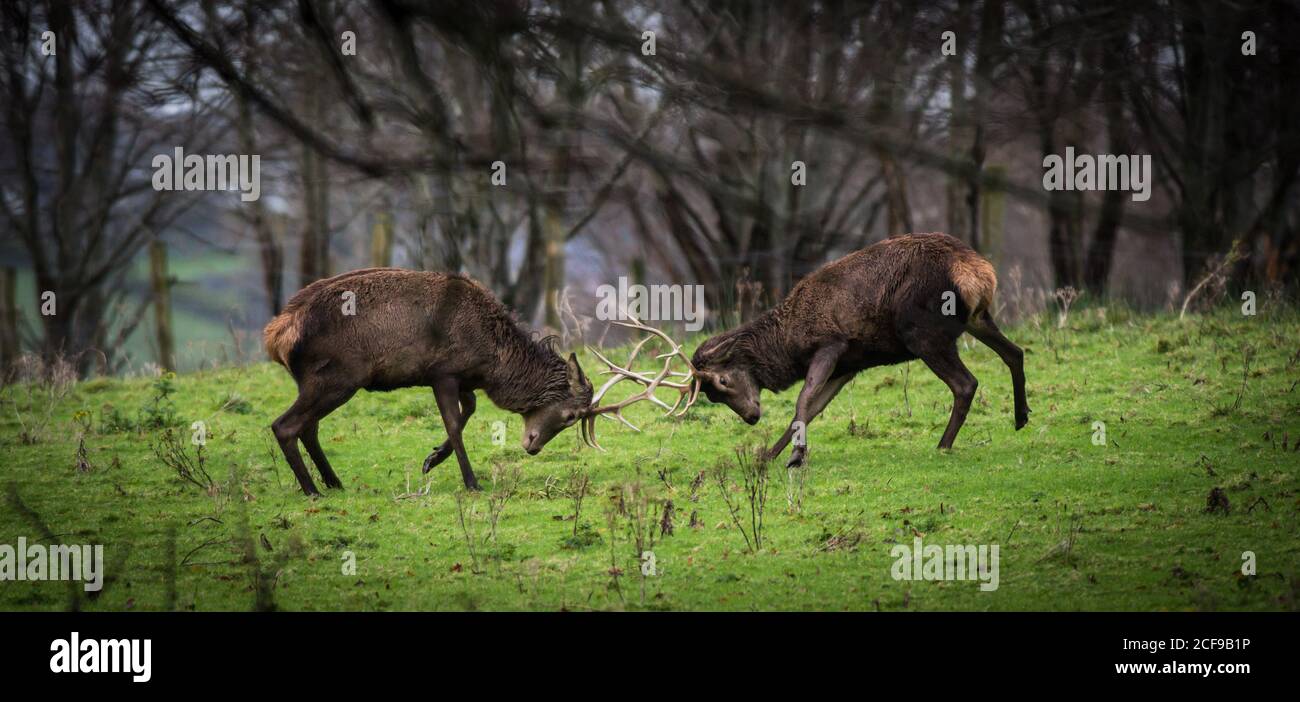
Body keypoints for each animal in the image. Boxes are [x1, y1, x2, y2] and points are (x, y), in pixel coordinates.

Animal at [262, 268, 594, 496]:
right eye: (570, 416)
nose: (532, 446)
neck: (491, 362)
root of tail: (277, 334)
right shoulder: (442, 372)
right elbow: (455, 424)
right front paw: (471, 482)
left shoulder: (463, 379)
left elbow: (468, 410)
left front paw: (432, 458)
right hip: (338, 379)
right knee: (284, 425)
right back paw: (312, 490)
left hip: (315, 383)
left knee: (308, 428)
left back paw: (334, 482)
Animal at [689, 232, 1030, 468]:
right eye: (712, 396)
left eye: (722, 382)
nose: (751, 417)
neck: (788, 345)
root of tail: (977, 272)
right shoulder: (850, 364)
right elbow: (812, 408)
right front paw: (768, 455)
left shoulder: (831, 343)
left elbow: (803, 399)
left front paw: (796, 456)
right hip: (976, 318)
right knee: (1015, 353)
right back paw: (1021, 417)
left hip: (922, 332)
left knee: (966, 383)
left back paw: (943, 445)